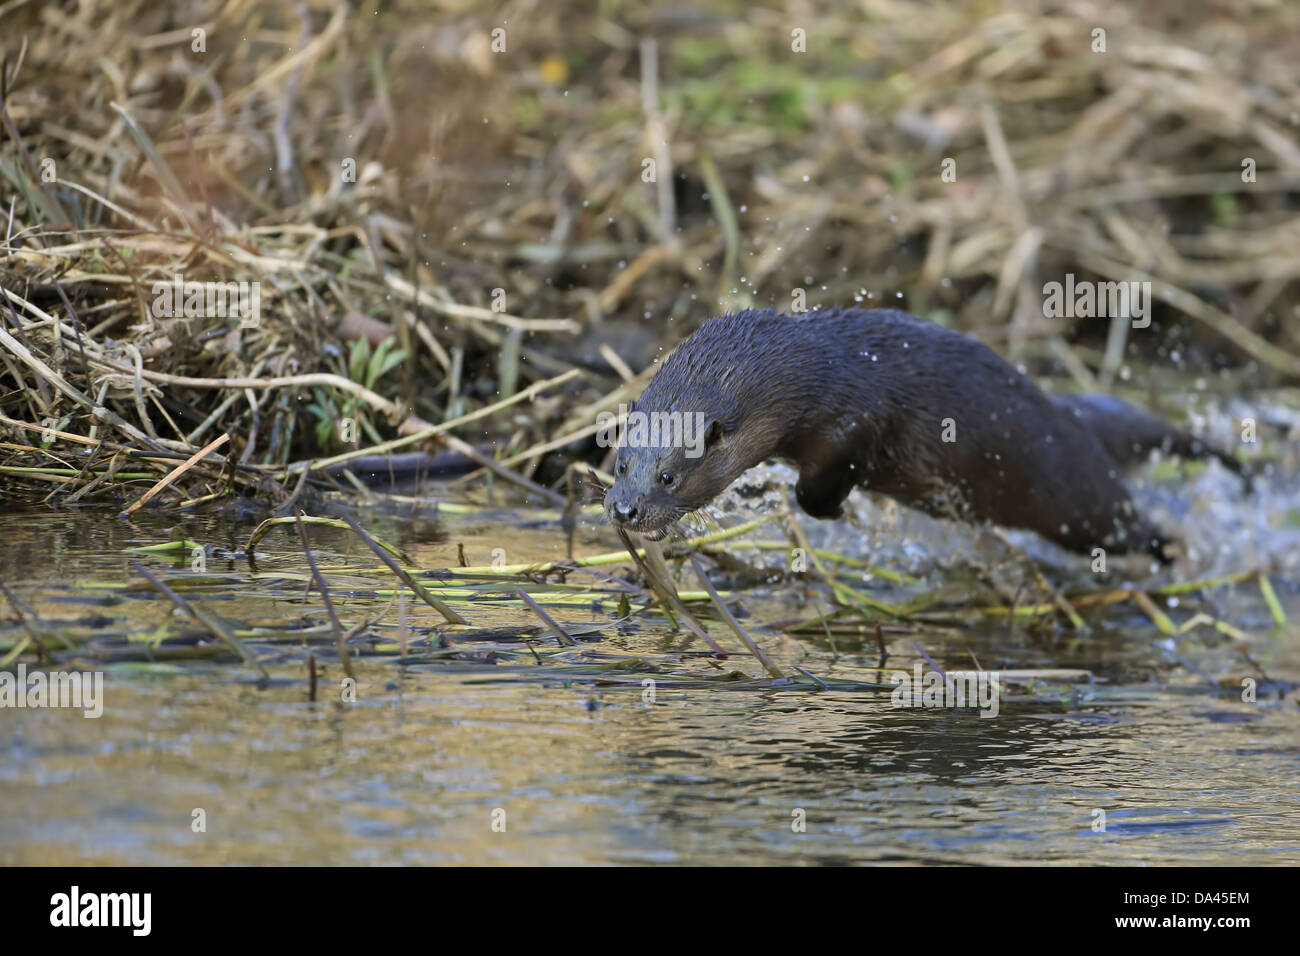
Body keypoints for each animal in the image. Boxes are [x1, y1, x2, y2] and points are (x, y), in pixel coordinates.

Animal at [602, 308, 1245, 560]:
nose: (626, 509)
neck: (820, 373)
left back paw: (1171, 549)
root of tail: (1074, 418)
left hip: (1084, 499)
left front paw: (844, 514)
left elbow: (817, 492)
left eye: (668, 474)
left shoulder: (854, 422)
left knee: (1128, 526)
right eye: (620, 462)